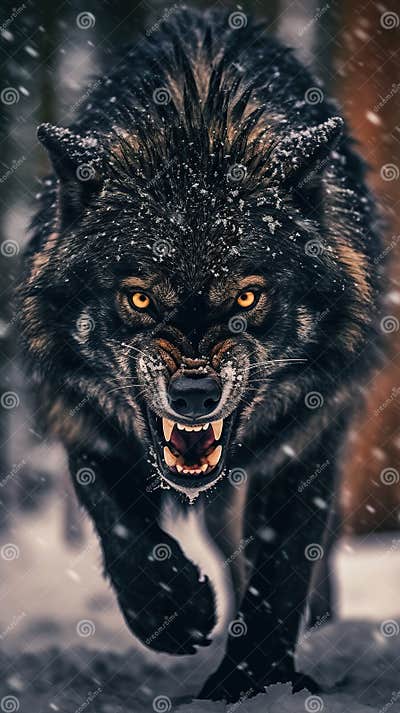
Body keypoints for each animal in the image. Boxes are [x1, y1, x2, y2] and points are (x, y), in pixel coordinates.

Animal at [18, 6, 381, 702]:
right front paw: (170, 610)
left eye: (246, 295)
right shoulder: (81, 414)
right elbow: (120, 525)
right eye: (138, 297)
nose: (193, 395)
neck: (196, 111)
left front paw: (253, 682)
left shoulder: (309, 435)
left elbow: (281, 570)